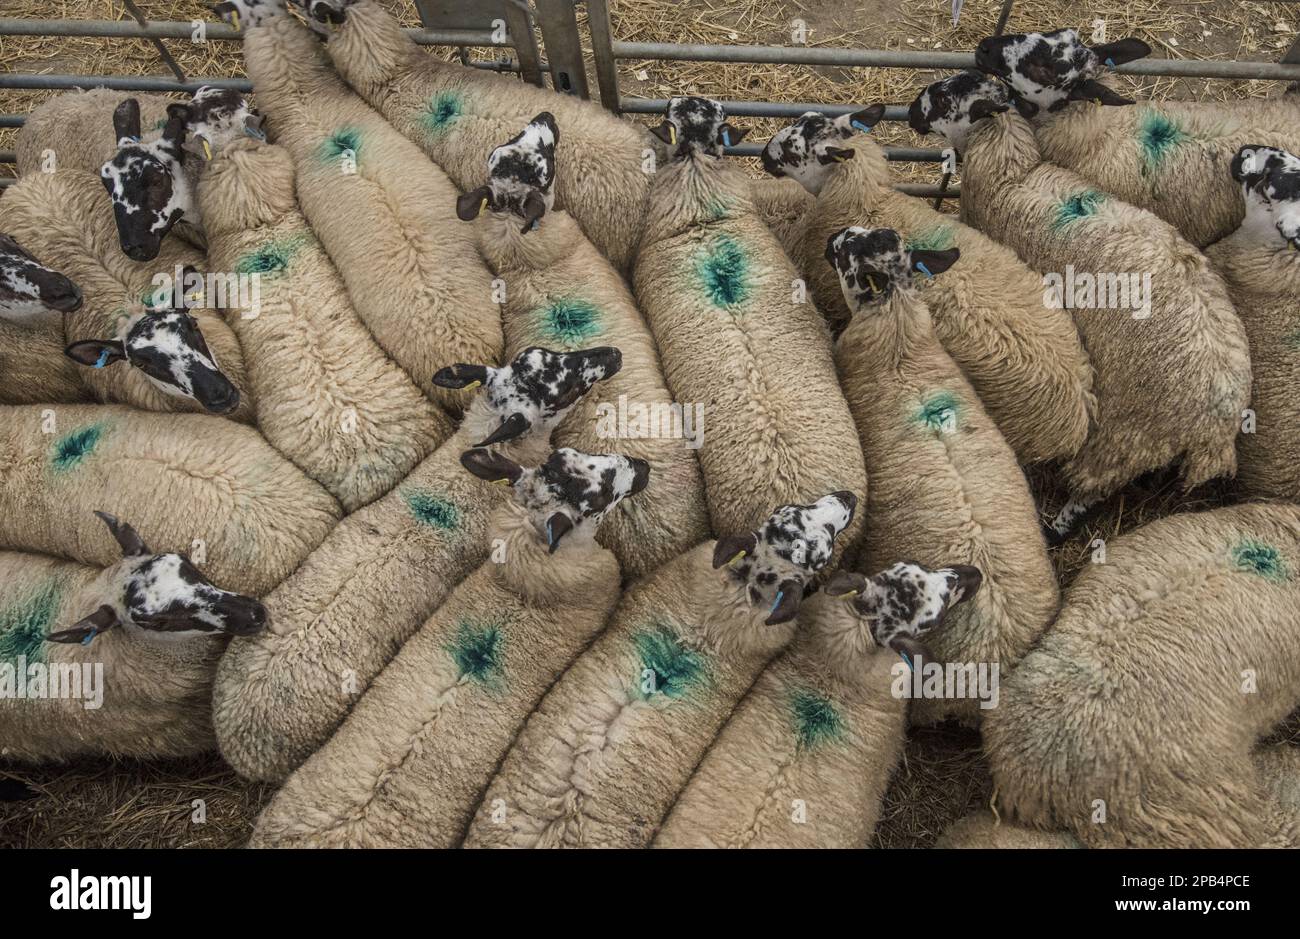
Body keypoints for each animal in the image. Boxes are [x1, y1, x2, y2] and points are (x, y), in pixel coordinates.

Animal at [910, 73, 1252, 539]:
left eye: (945, 100)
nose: (910, 111)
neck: (1012, 171)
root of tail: (1215, 429)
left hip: (1127, 435)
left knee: (1093, 489)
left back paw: (1056, 528)